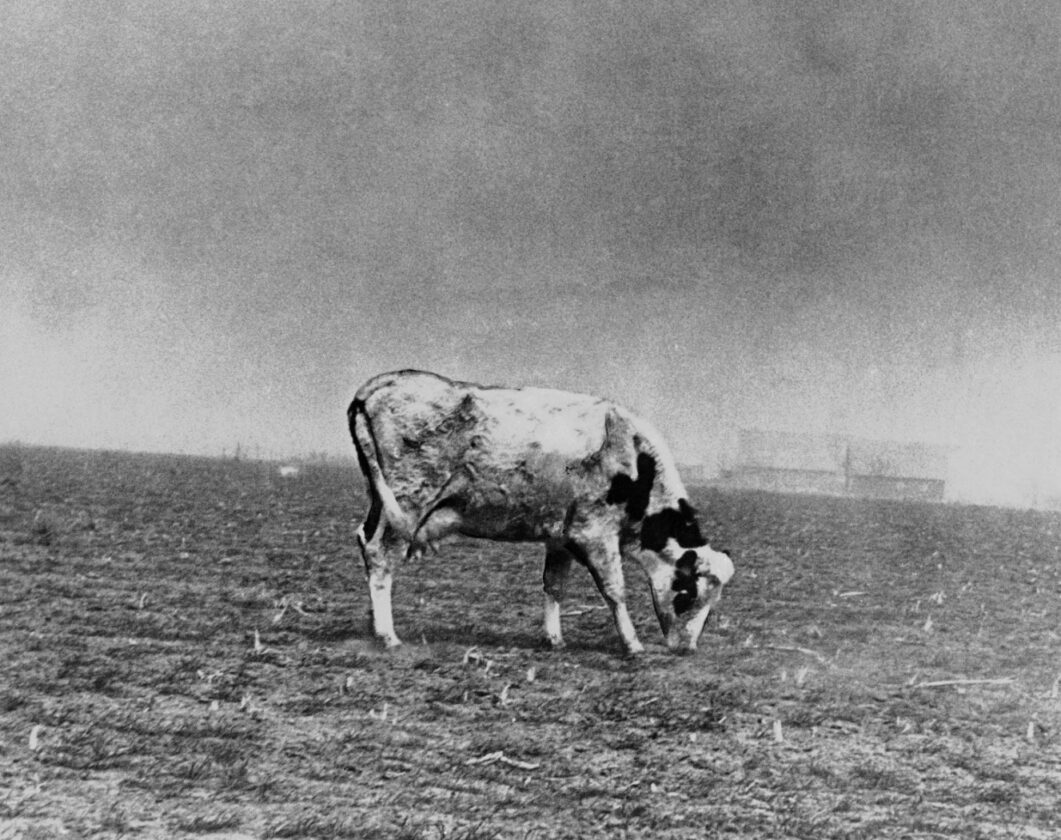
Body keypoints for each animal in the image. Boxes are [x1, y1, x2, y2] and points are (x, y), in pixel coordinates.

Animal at [348, 370, 733, 655]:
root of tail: (384, 382)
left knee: (366, 543)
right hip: (407, 500)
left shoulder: (560, 537)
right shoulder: (594, 533)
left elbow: (554, 585)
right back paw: (387, 635)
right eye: (691, 593)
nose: (688, 648)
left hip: (381, 502)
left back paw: (372, 626)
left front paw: (554, 638)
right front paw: (633, 644)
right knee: (382, 555)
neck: (632, 458)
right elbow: (615, 589)